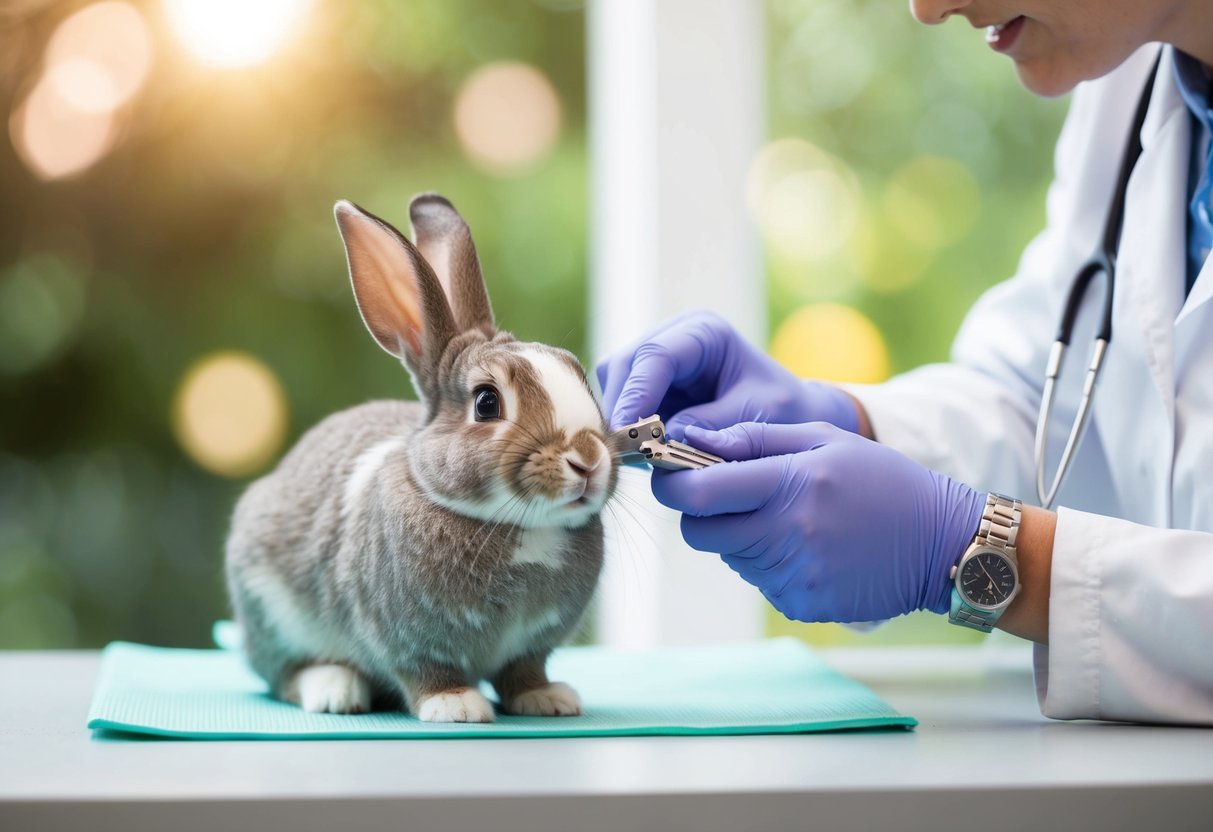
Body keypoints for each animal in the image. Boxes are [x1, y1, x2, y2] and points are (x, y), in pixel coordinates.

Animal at [224, 195, 618, 722]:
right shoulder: (406, 638)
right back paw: (335, 691)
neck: (523, 529)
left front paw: (548, 699)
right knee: (285, 674)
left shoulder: (530, 646)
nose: (588, 460)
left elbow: (524, 671)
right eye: (487, 402)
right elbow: (427, 671)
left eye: (579, 374)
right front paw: (457, 707)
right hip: (271, 613)